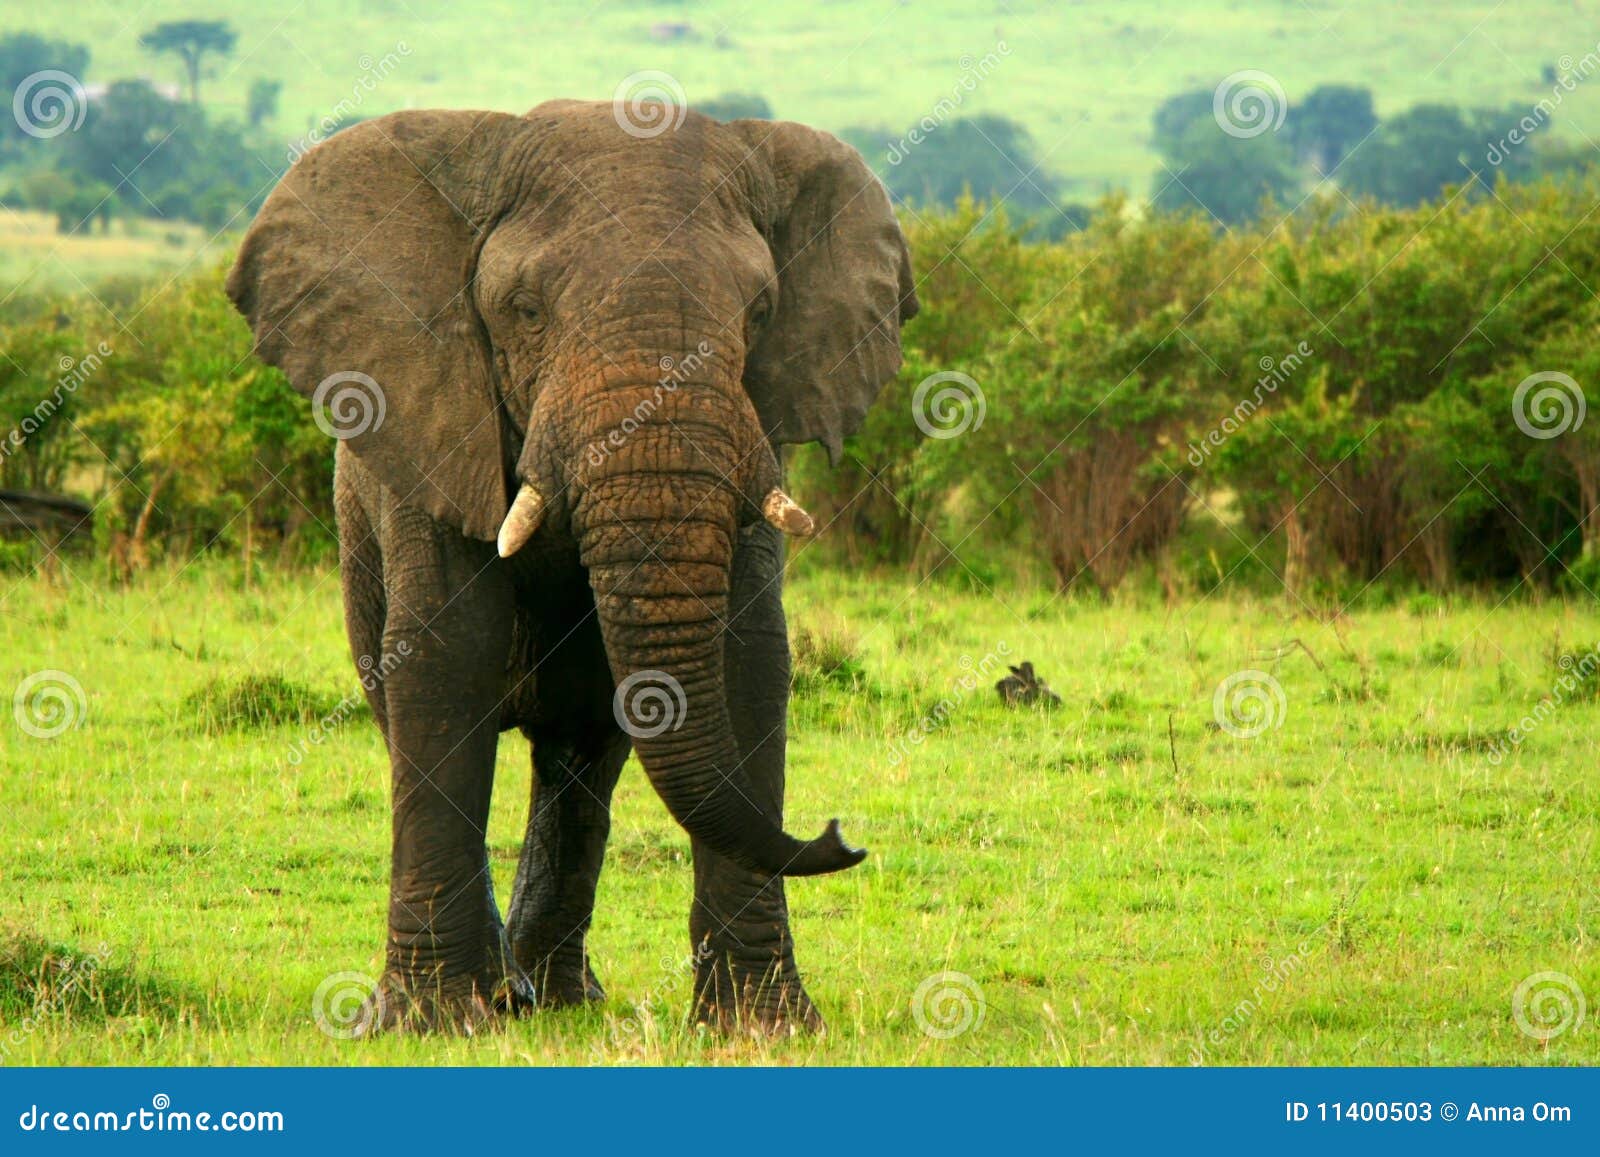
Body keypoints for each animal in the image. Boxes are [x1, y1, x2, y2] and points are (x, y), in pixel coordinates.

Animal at [225, 100, 918, 1034]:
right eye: (523, 310)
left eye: (761, 310)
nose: (843, 833)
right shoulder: (434, 426)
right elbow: (445, 654)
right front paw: (429, 1022)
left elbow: (749, 662)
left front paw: (761, 1025)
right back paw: (508, 992)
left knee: (581, 752)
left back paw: (551, 995)